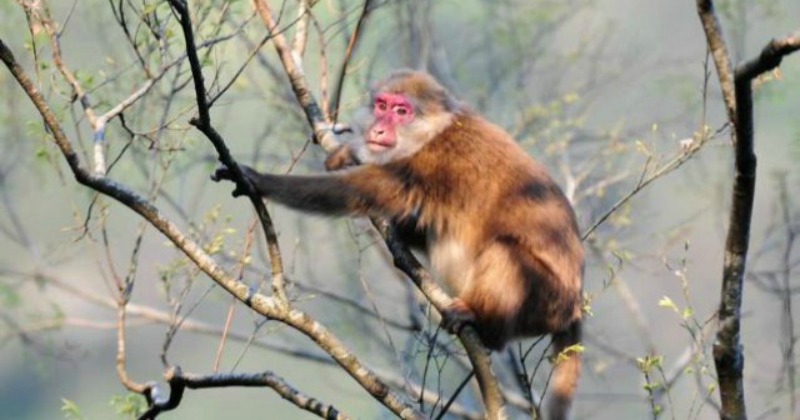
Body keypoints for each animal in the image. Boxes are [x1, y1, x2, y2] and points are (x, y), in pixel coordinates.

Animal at [212, 70, 583, 419]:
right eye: (382, 105)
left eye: (401, 111)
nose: (378, 130)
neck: (435, 131)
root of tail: (574, 306)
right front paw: (348, 153)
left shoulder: (431, 160)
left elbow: (362, 190)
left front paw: (258, 179)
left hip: (546, 299)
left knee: (505, 252)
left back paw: (480, 322)